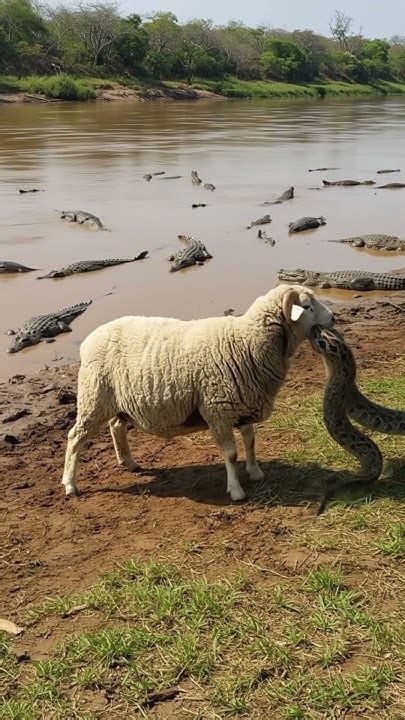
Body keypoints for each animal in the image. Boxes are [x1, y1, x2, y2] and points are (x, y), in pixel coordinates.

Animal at [62, 284, 334, 501]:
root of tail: (89, 340)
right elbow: (231, 454)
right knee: (75, 438)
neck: (247, 342)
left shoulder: (244, 403)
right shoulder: (218, 409)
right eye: (307, 306)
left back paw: (129, 462)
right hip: (94, 397)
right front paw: (236, 490)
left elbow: (250, 440)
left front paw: (255, 472)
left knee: (116, 426)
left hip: (118, 401)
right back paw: (70, 484)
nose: (333, 317)